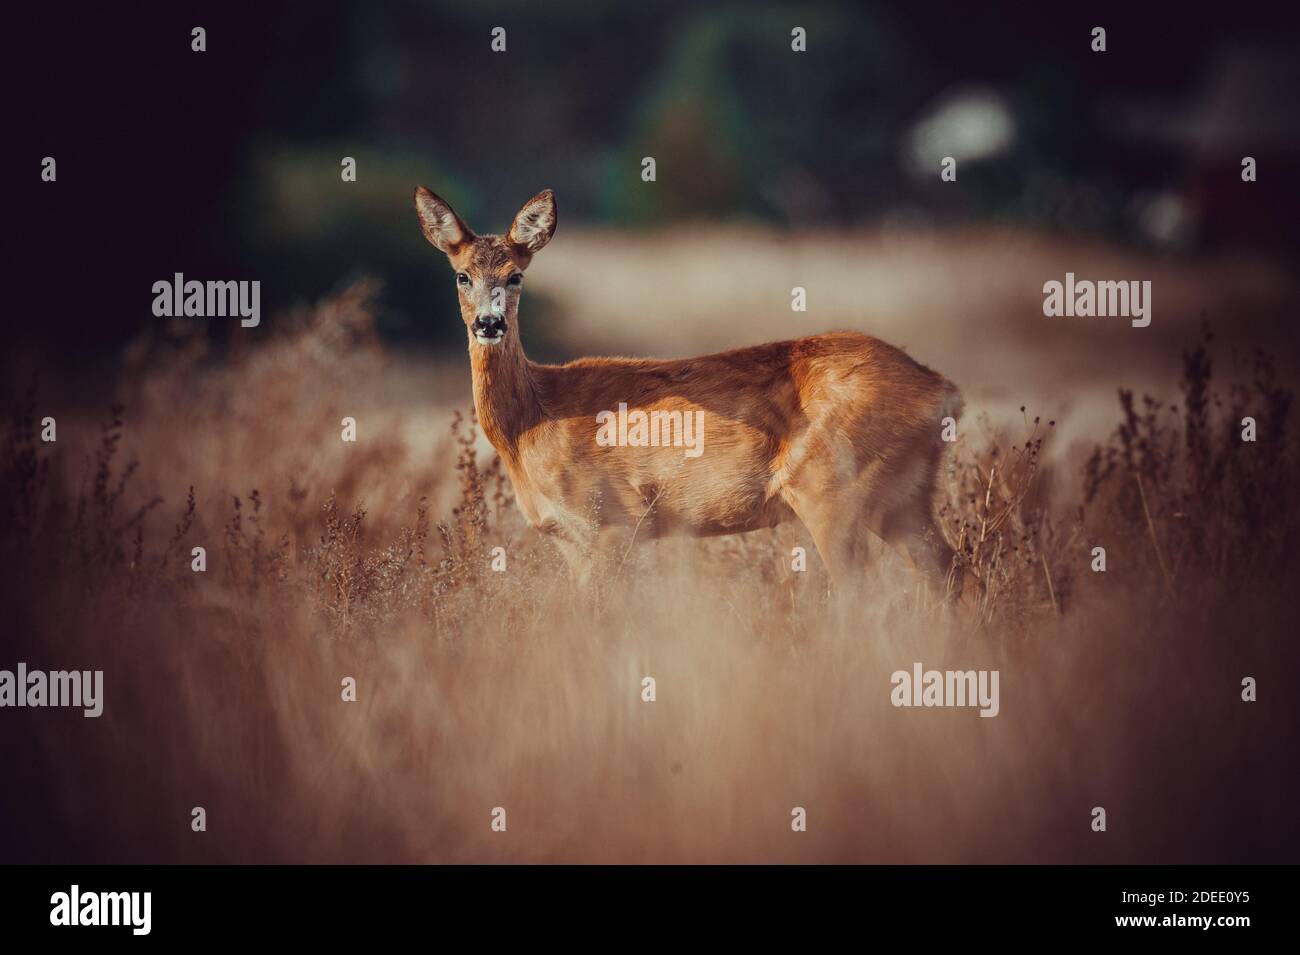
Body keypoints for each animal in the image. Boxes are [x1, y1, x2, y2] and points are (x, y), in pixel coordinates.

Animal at [414, 186, 967, 603]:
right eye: (461, 275)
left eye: (516, 276)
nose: (489, 323)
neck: (531, 423)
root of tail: (943, 389)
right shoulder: (568, 537)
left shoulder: (612, 519)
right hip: (903, 495)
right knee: (951, 570)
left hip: (831, 488)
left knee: (864, 593)